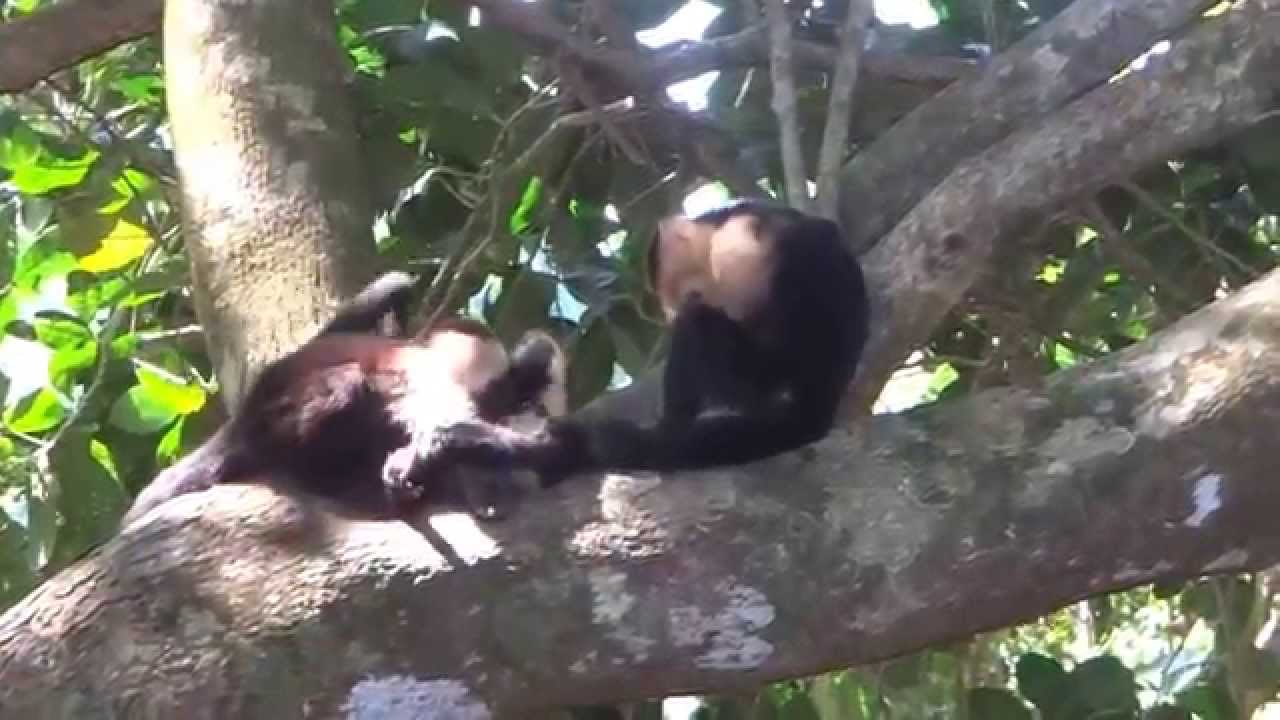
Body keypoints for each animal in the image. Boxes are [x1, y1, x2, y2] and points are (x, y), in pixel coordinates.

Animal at [120, 271, 567, 528]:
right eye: (496, 390)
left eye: (510, 396)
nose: (514, 401)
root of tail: (240, 421)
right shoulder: (432, 377)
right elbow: (444, 429)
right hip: (274, 418)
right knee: (345, 386)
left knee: (393, 287)